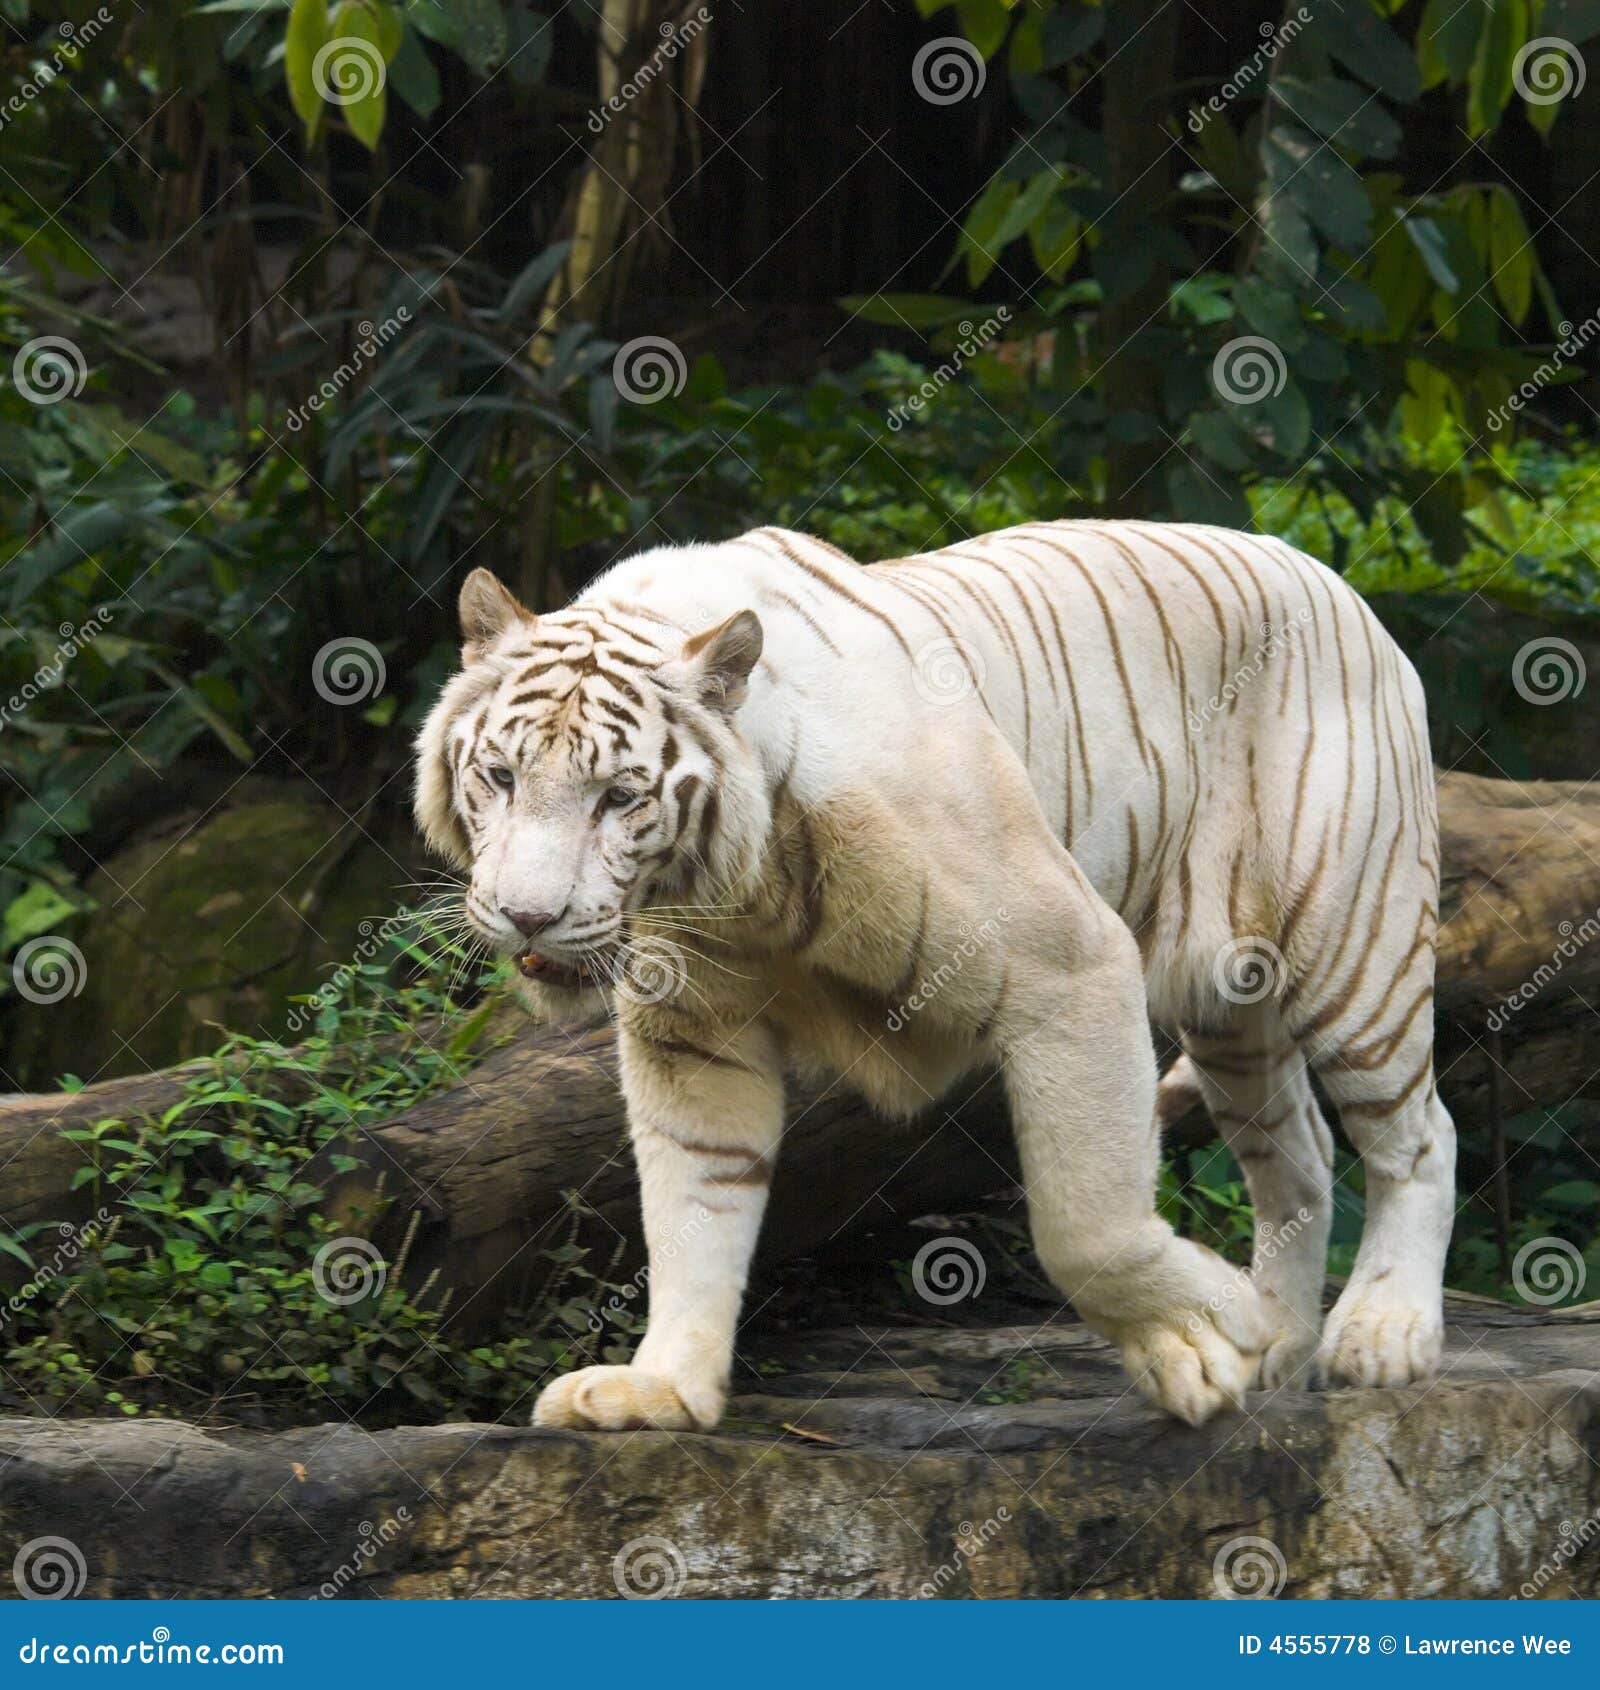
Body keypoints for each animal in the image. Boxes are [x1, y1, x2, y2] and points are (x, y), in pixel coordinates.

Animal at [414, 520, 1454, 1433]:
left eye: (619, 797)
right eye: (501, 776)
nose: (529, 915)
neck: (740, 888)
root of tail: (1330, 580)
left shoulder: (1069, 961)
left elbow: (1089, 1222)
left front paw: (1210, 1332)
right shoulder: (694, 1031)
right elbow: (695, 1204)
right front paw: (662, 1388)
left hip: (1350, 943)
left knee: (1417, 1136)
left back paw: (1379, 1334)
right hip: (1230, 1002)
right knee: (1300, 1157)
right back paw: (1283, 1345)